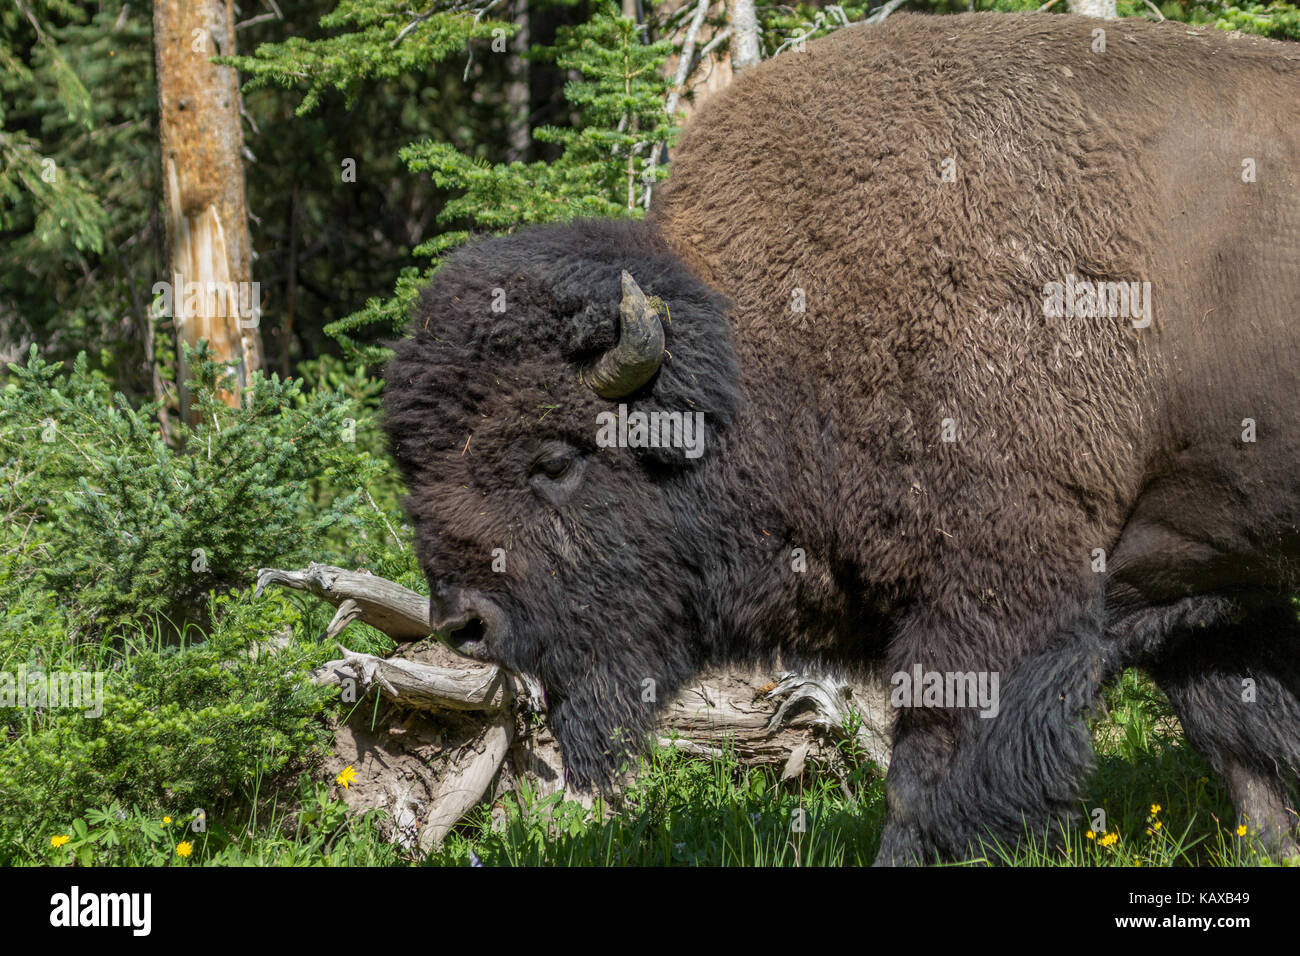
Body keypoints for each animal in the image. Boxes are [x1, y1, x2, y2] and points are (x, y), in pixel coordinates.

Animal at [384, 12, 1300, 864]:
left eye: (555, 460)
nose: (463, 623)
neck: (762, 355)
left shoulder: (992, 609)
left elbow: (925, 786)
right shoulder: (1198, 588)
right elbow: (1251, 752)